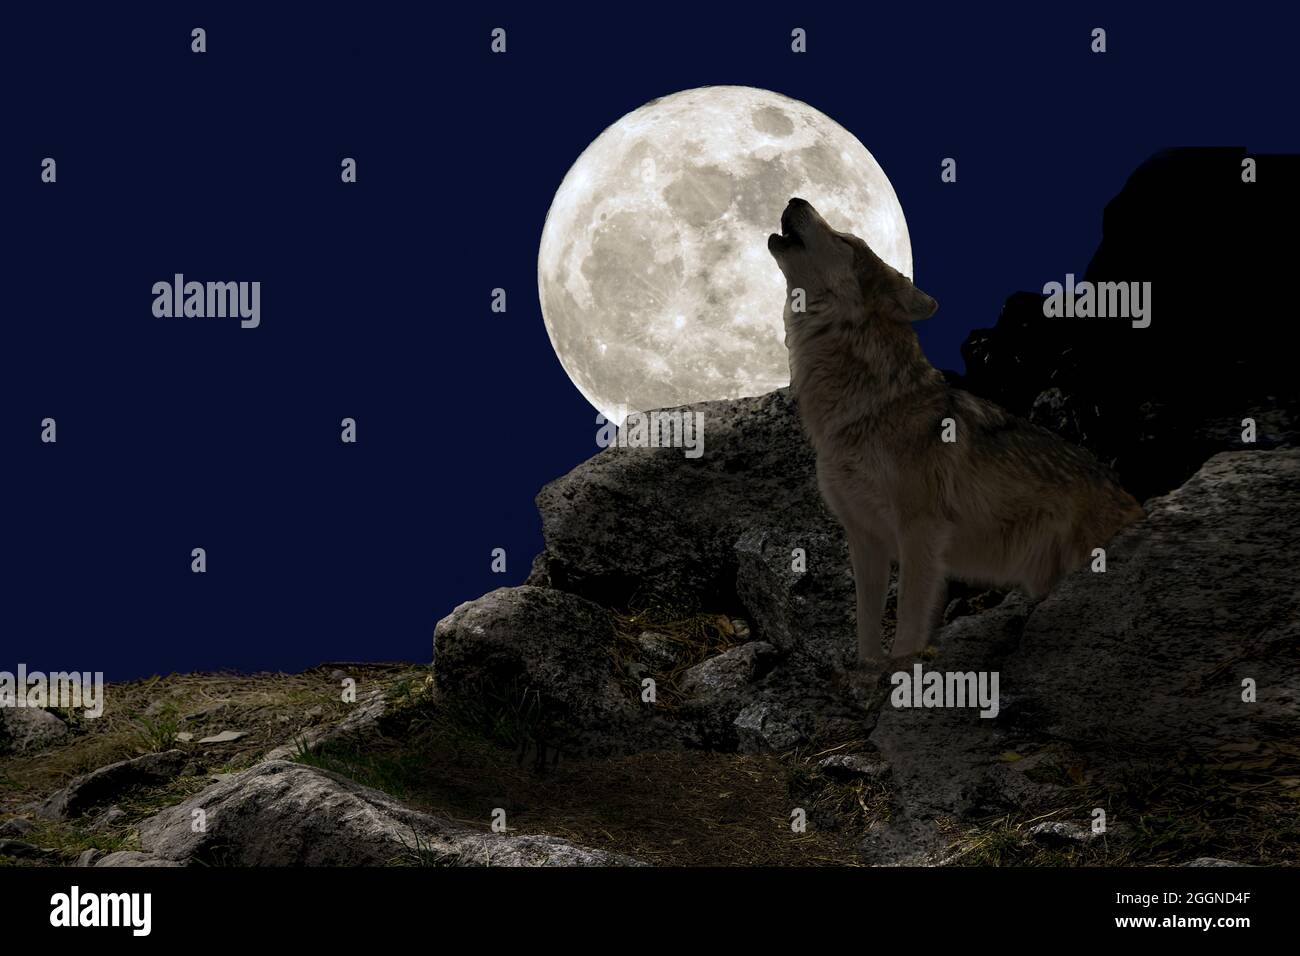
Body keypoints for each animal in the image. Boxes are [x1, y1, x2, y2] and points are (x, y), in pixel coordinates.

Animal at [767, 198, 1145, 668]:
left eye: (844, 240)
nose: (795, 200)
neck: (866, 408)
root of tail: (1133, 502)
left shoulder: (921, 532)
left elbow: (909, 620)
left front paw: (901, 670)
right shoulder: (865, 536)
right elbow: (866, 626)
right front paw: (868, 670)